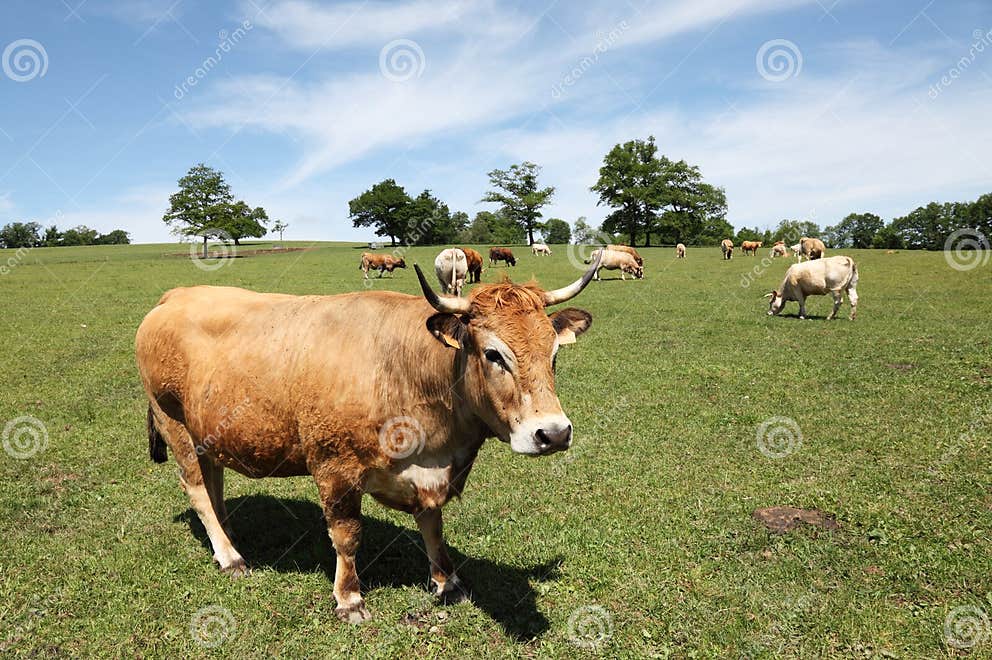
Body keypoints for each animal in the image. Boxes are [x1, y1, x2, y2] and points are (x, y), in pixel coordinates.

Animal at [135, 255, 602, 624]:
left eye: (554, 353)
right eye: (493, 354)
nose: (553, 433)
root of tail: (175, 296)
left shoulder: (431, 471)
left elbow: (433, 527)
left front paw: (446, 580)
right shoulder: (334, 468)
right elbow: (347, 535)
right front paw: (349, 598)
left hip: (207, 430)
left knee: (214, 482)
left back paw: (228, 537)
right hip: (173, 420)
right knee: (197, 487)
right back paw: (230, 555)